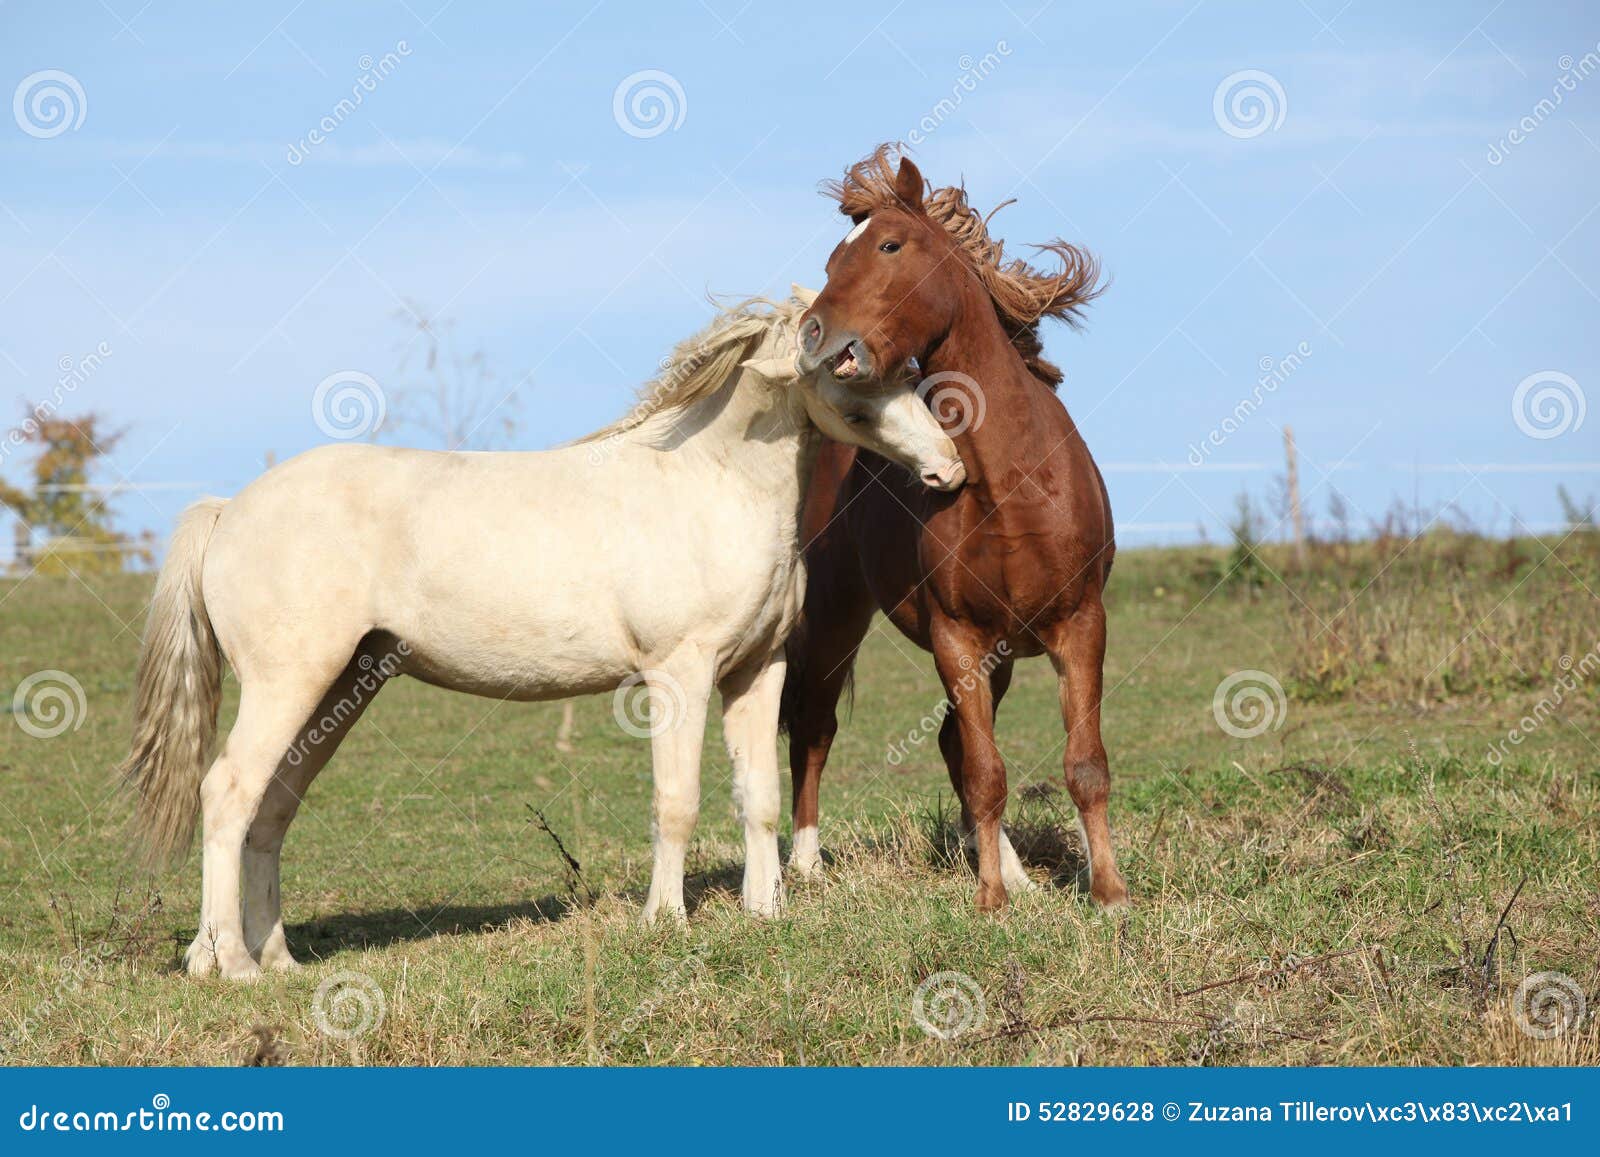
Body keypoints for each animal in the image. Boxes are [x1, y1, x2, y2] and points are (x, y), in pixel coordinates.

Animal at [120, 293, 967, 980]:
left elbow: (757, 795)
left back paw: (279, 959)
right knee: (228, 792)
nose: (949, 468)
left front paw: (766, 911)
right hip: (288, 682)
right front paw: (664, 920)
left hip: (338, 689)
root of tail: (229, 507)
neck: (707, 480)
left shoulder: (758, 670)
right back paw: (226, 962)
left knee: (271, 808)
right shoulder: (679, 674)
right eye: (854, 369)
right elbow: (677, 801)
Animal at [782, 148, 1129, 912]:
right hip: (835, 616)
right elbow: (986, 772)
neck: (1014, 483)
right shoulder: (956, 638)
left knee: (946, 742)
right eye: (830, 260)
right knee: (816, 727)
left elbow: (1084, 762)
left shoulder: (1080, 623)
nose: (812, 337)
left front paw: (1108, 892)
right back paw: (807, 866)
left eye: (889, 246)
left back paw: (1016, 873)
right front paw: (990, 902)